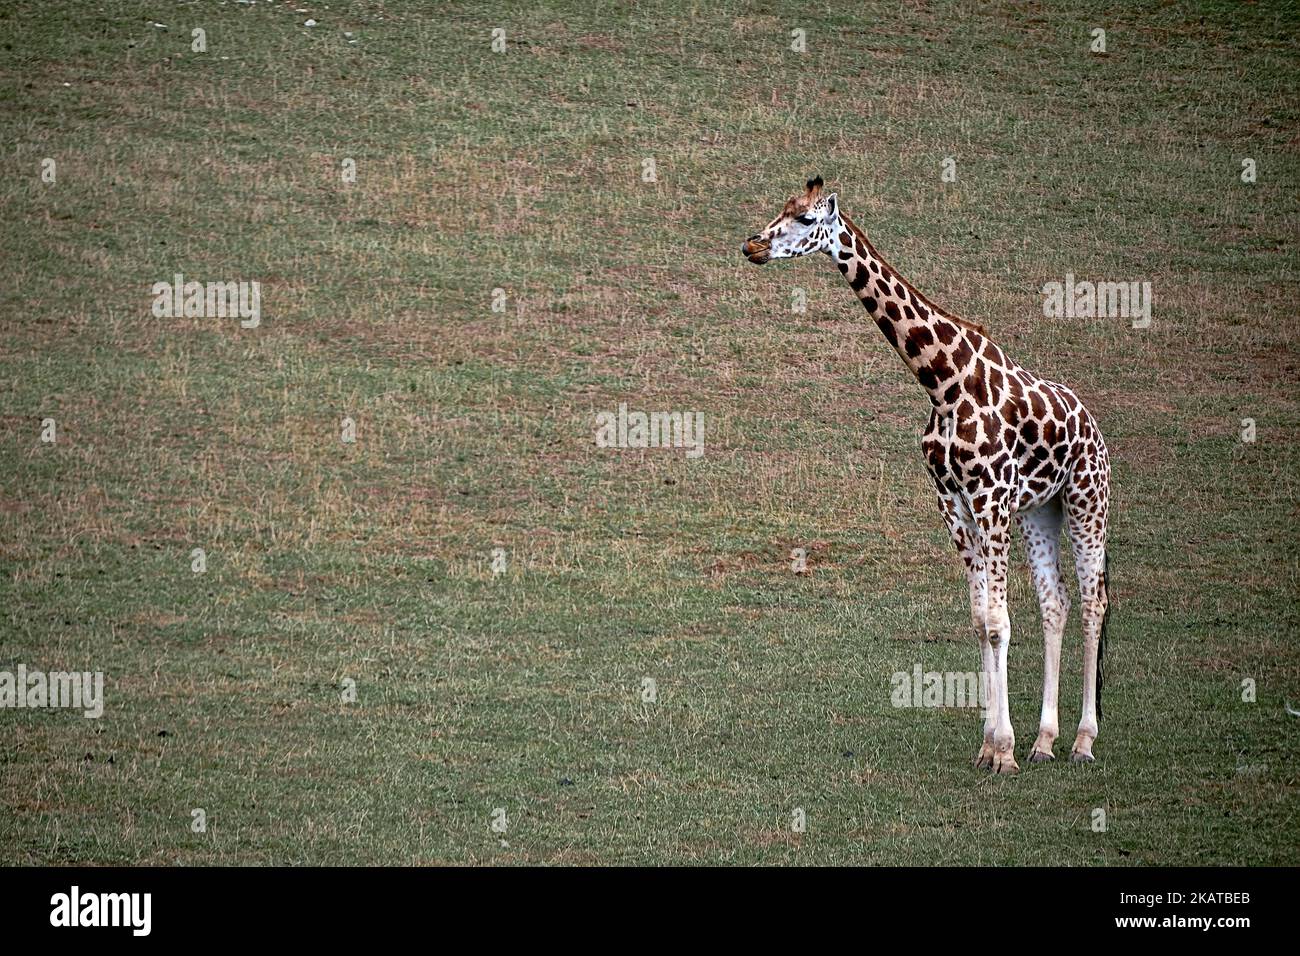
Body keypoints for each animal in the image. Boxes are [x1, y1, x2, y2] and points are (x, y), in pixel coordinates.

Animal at [742, 177, 1112, 773]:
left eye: (805, 220)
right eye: (782, 208)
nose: (751, 245)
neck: (943, 381)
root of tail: (1097, 430)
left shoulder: (990, 497)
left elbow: (997, 622)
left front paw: (1003, 752)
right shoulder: (953, 500)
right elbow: (980, 619)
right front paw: (992, 746)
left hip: (1086, 501)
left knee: (1093, 602)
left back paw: (1082, 742)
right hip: (1040, 510)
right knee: (1055, 603)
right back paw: (1044, 741)